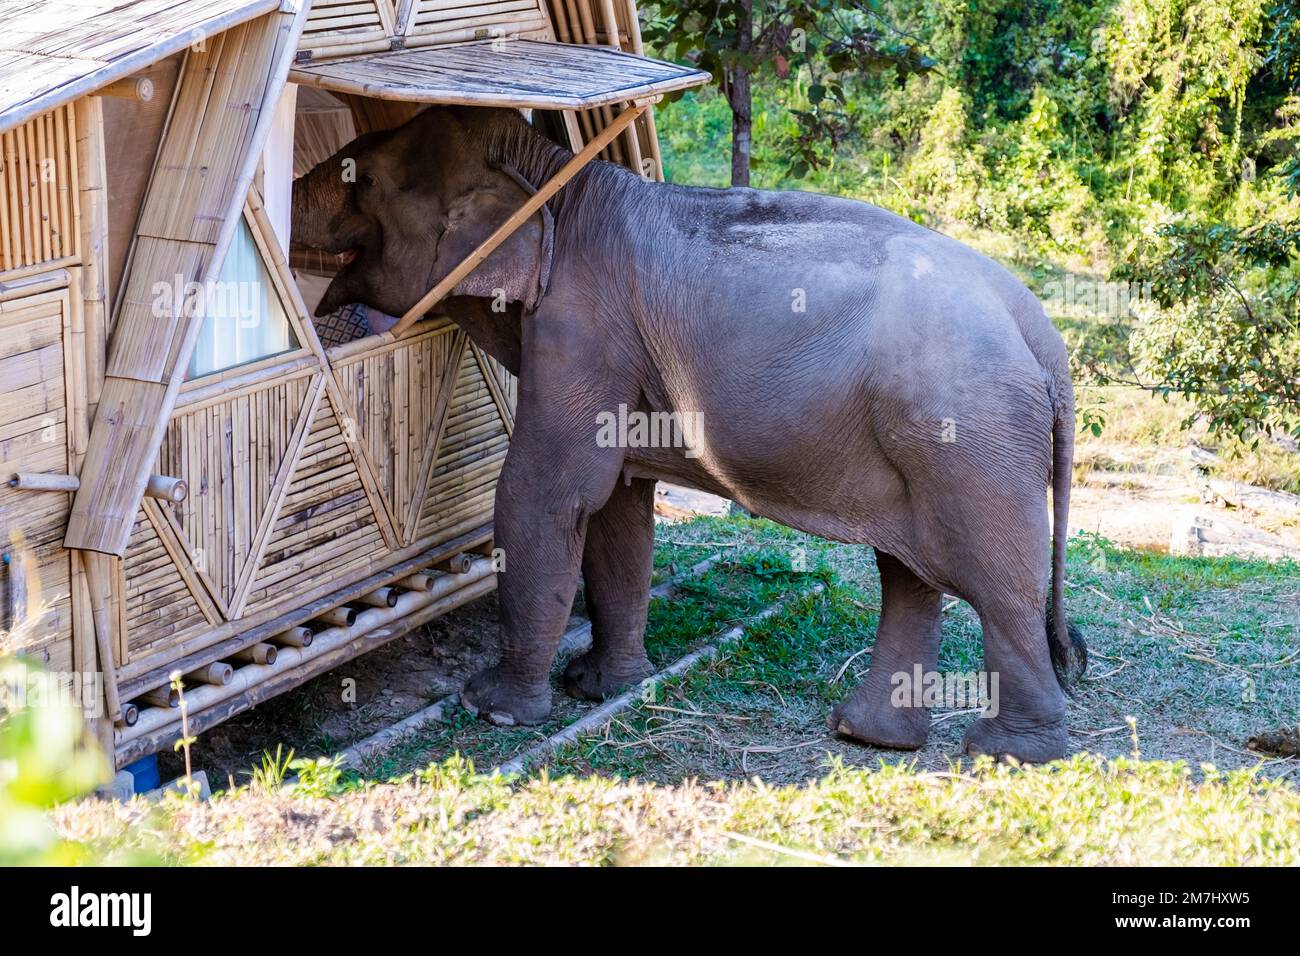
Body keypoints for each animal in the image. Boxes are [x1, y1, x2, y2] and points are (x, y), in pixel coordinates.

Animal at [291, 105, 1087, 763]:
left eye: (360, 180)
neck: (554, 180)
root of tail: (1044, 338)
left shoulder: (582, 332)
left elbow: (545, 494)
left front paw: (496, 709)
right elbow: (616, 510)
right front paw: (601, 686)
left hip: (968, 441)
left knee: (994, 583)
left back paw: (1009, 753)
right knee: (910, 575)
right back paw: (870, 735)